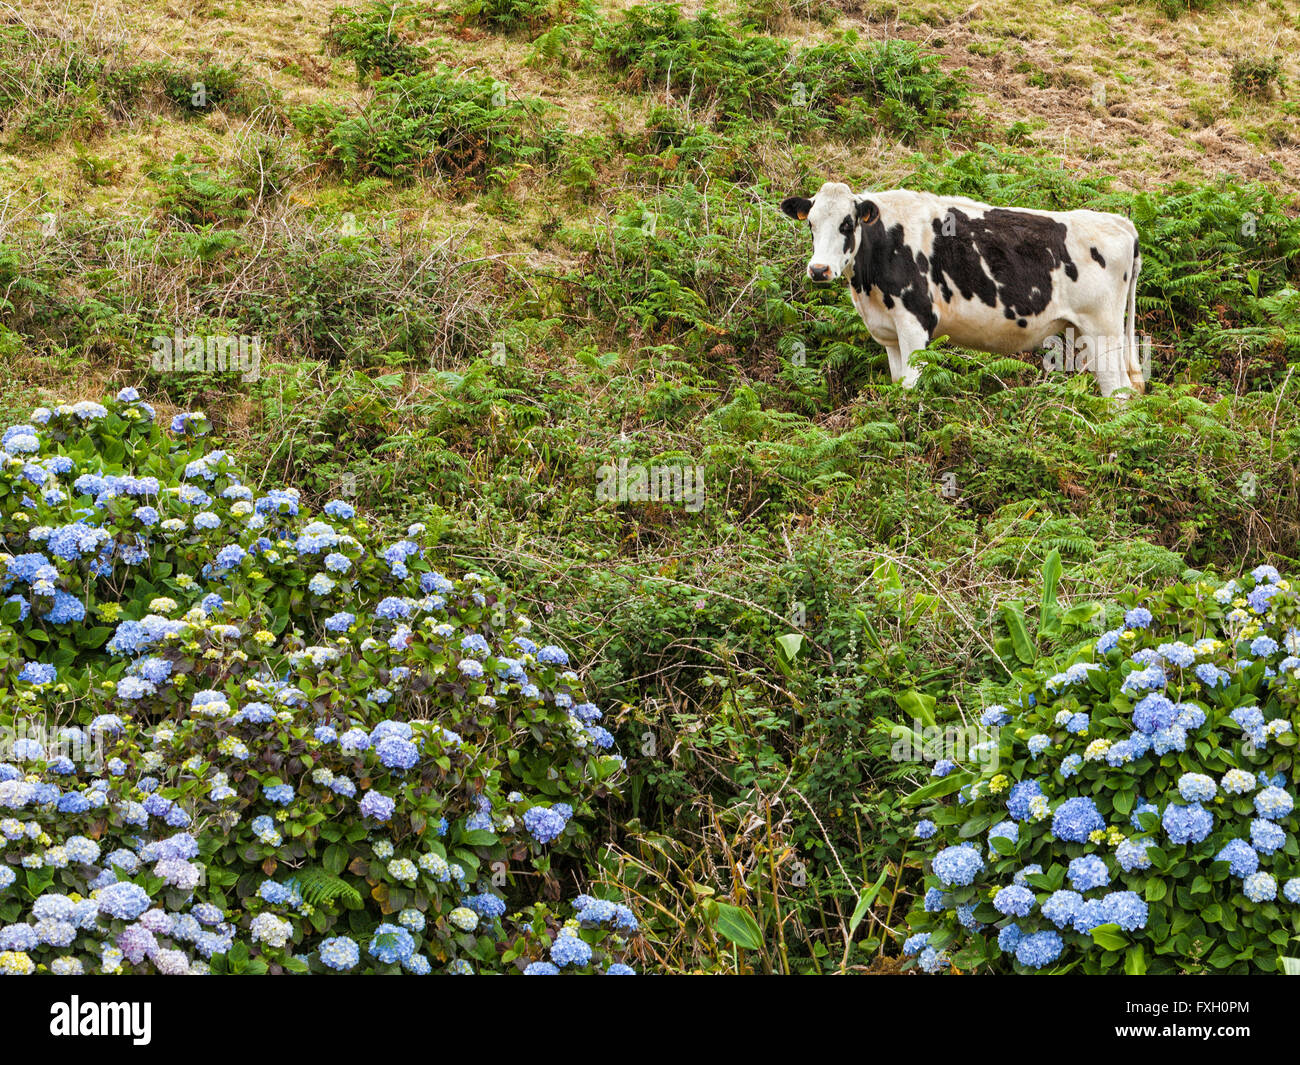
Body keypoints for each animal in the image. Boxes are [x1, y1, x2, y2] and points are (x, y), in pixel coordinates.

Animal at [780, 182, 1144, 396]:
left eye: (847, 223)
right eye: (810, 223)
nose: (819, 269)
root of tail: (1121, 222)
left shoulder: (916, 323)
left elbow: (911, 387)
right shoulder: (890, 334)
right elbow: (898, 384)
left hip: (1103, 330)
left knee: (1119, 392)